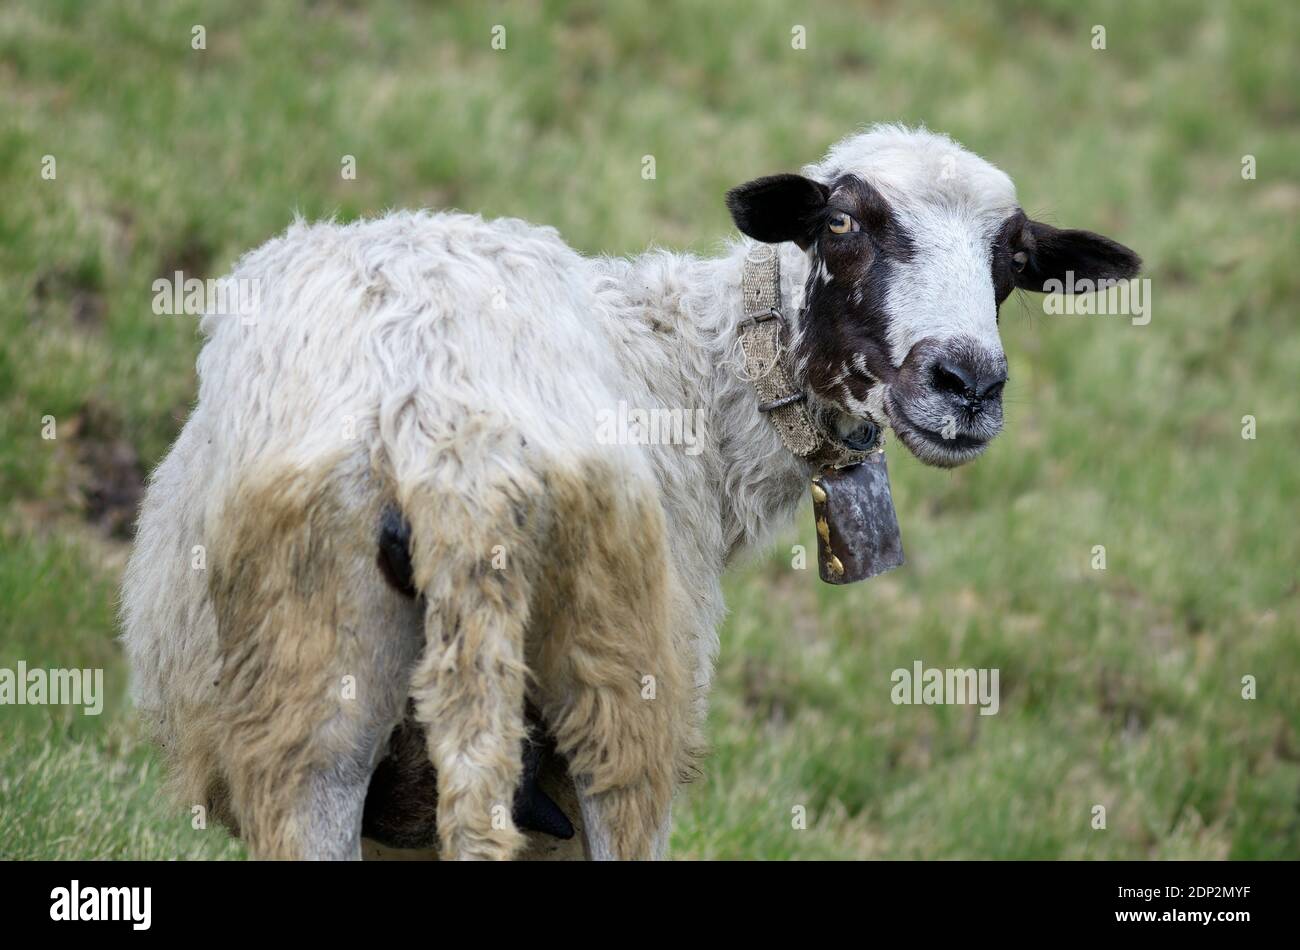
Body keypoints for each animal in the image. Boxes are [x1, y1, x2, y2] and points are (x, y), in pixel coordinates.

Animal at [120, 124, 1140, 860]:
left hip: (313, 717)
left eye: (1014, 260)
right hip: (622, 698)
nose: (967, 383)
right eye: (842, 224)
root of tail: (448, 441)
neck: (688, 371)